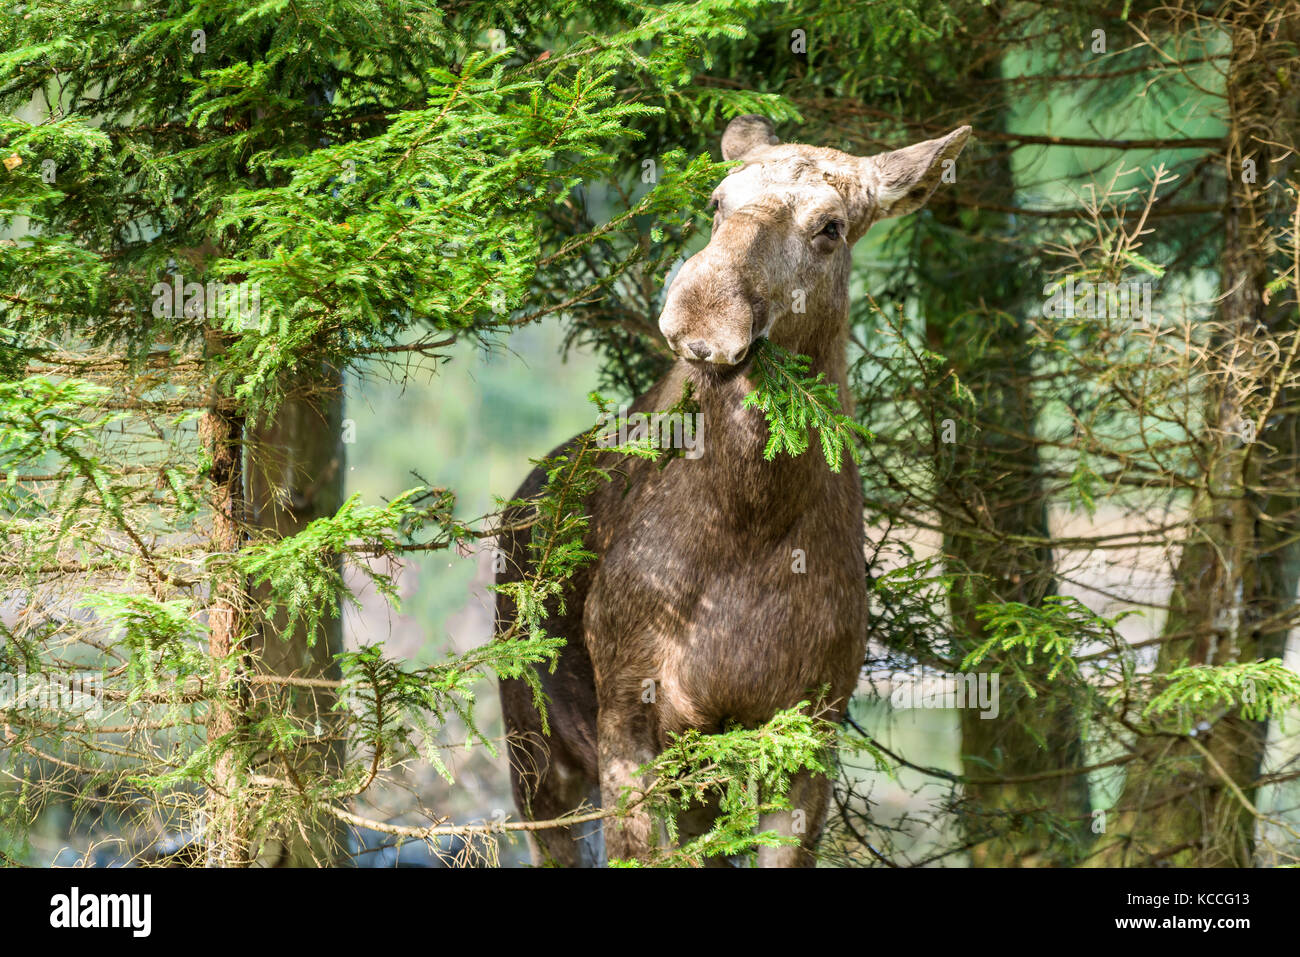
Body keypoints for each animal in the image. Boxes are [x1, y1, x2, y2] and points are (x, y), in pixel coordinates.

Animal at [496, 115, 971, 866]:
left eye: (831, 226)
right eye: (716, 201)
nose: (702, 314)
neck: (752, 520)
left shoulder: (811, 723)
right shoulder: (629, 707)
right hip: (536, 752)